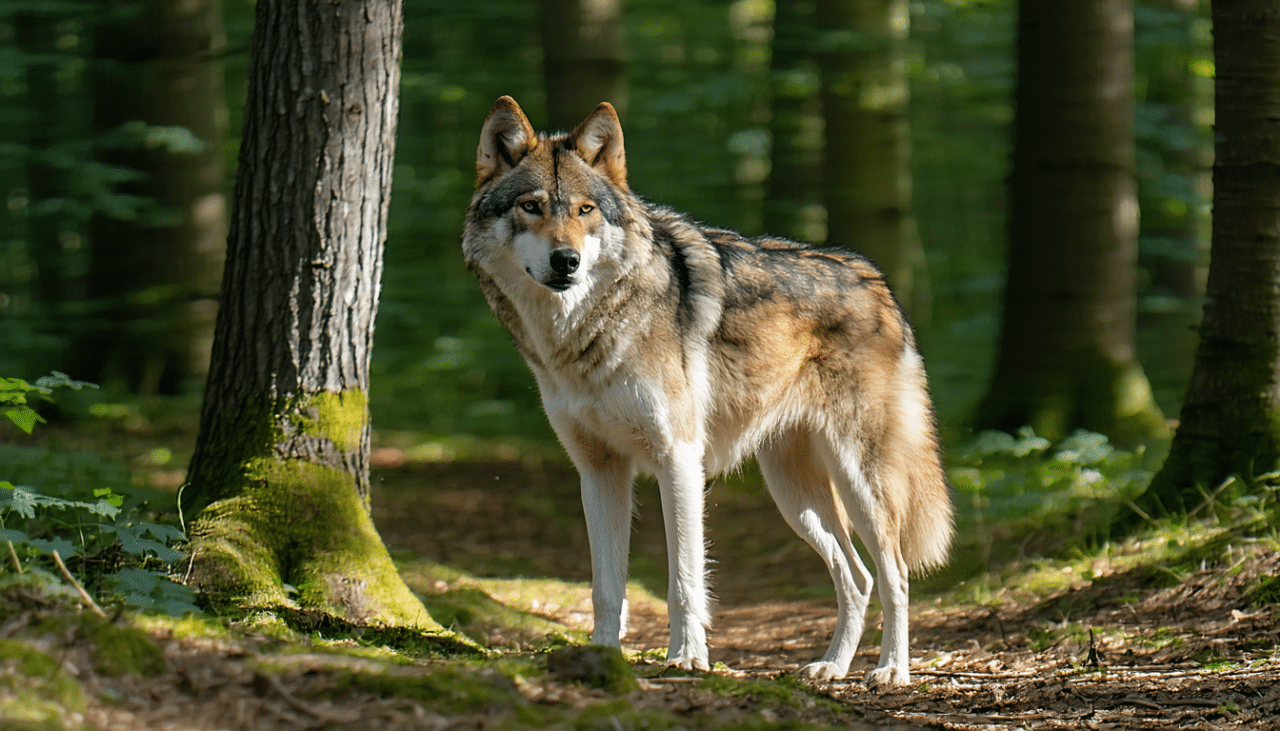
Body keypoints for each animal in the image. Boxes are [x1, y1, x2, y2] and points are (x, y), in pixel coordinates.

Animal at [462, 96, 953, 687]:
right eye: (532, 207)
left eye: (585, 210)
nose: (567, 261)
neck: (583, 334)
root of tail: (874, 279)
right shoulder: (599, 470)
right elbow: (606, 588)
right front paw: (601, 656)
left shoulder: (678, 459)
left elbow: (685, 580)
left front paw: (687, 658)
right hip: (794, 494)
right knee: (857, 578)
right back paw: (832, 667)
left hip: (859, 478)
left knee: (895, 572)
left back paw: (891, 671)